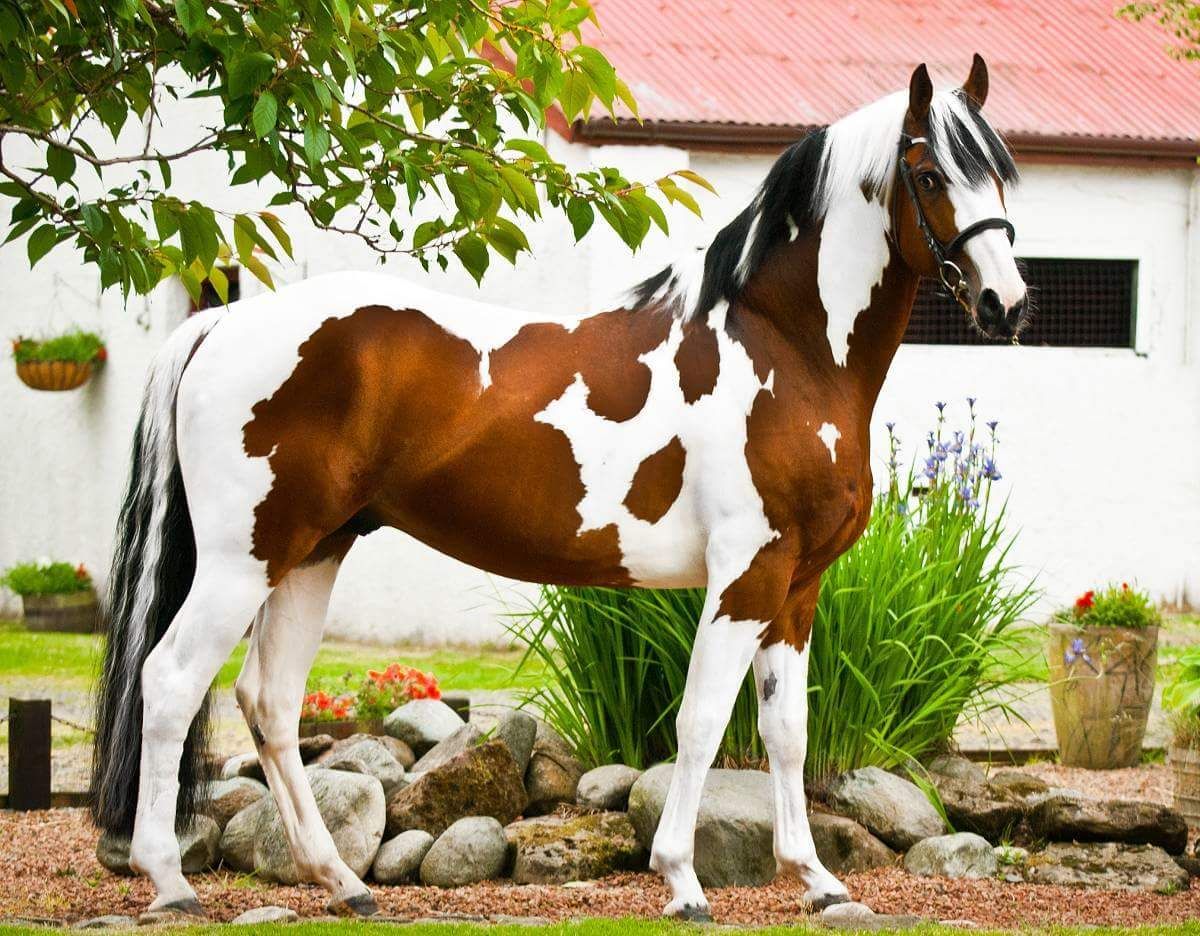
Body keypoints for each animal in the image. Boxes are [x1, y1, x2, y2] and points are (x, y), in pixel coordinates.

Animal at [90, 55, 1027, 920]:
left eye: (1000, 172)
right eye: (931, 174)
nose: (1006, 304)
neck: (784, 349)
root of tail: (223, 322)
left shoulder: (796, 589)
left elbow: (786, 733)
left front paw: (818, 882)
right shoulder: (744, 578)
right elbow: (699, 725)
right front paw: (683, 882)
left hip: (311, 553)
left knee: (272, 703)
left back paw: (343, 883)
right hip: (241, 560)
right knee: (171, 680)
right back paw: (170, 882)